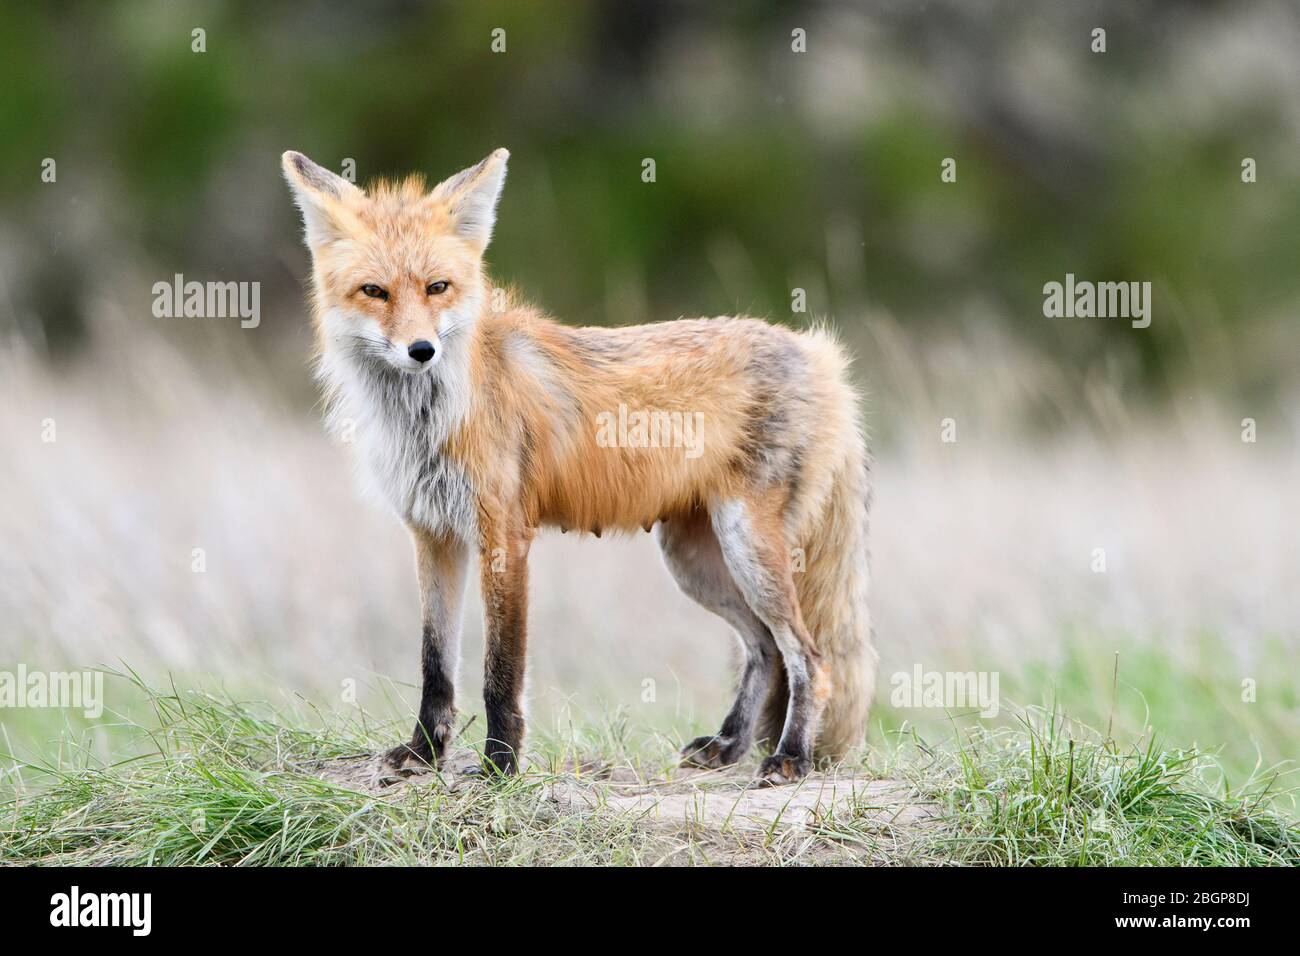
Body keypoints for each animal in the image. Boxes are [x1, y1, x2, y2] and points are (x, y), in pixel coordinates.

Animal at [281, 147, 875, 784]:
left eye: (437, 287)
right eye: (375, 291)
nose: (422, 350)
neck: (431, 414)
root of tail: (818, 353)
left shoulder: (504, 536)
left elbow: (500, 673)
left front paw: (500, 766)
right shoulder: (433, 535)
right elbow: (435, 666)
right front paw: (423, 754)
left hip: (748, 549)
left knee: (808, 656)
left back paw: (792, 757)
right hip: (696, 562)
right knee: (763, 651)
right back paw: (728, 744)